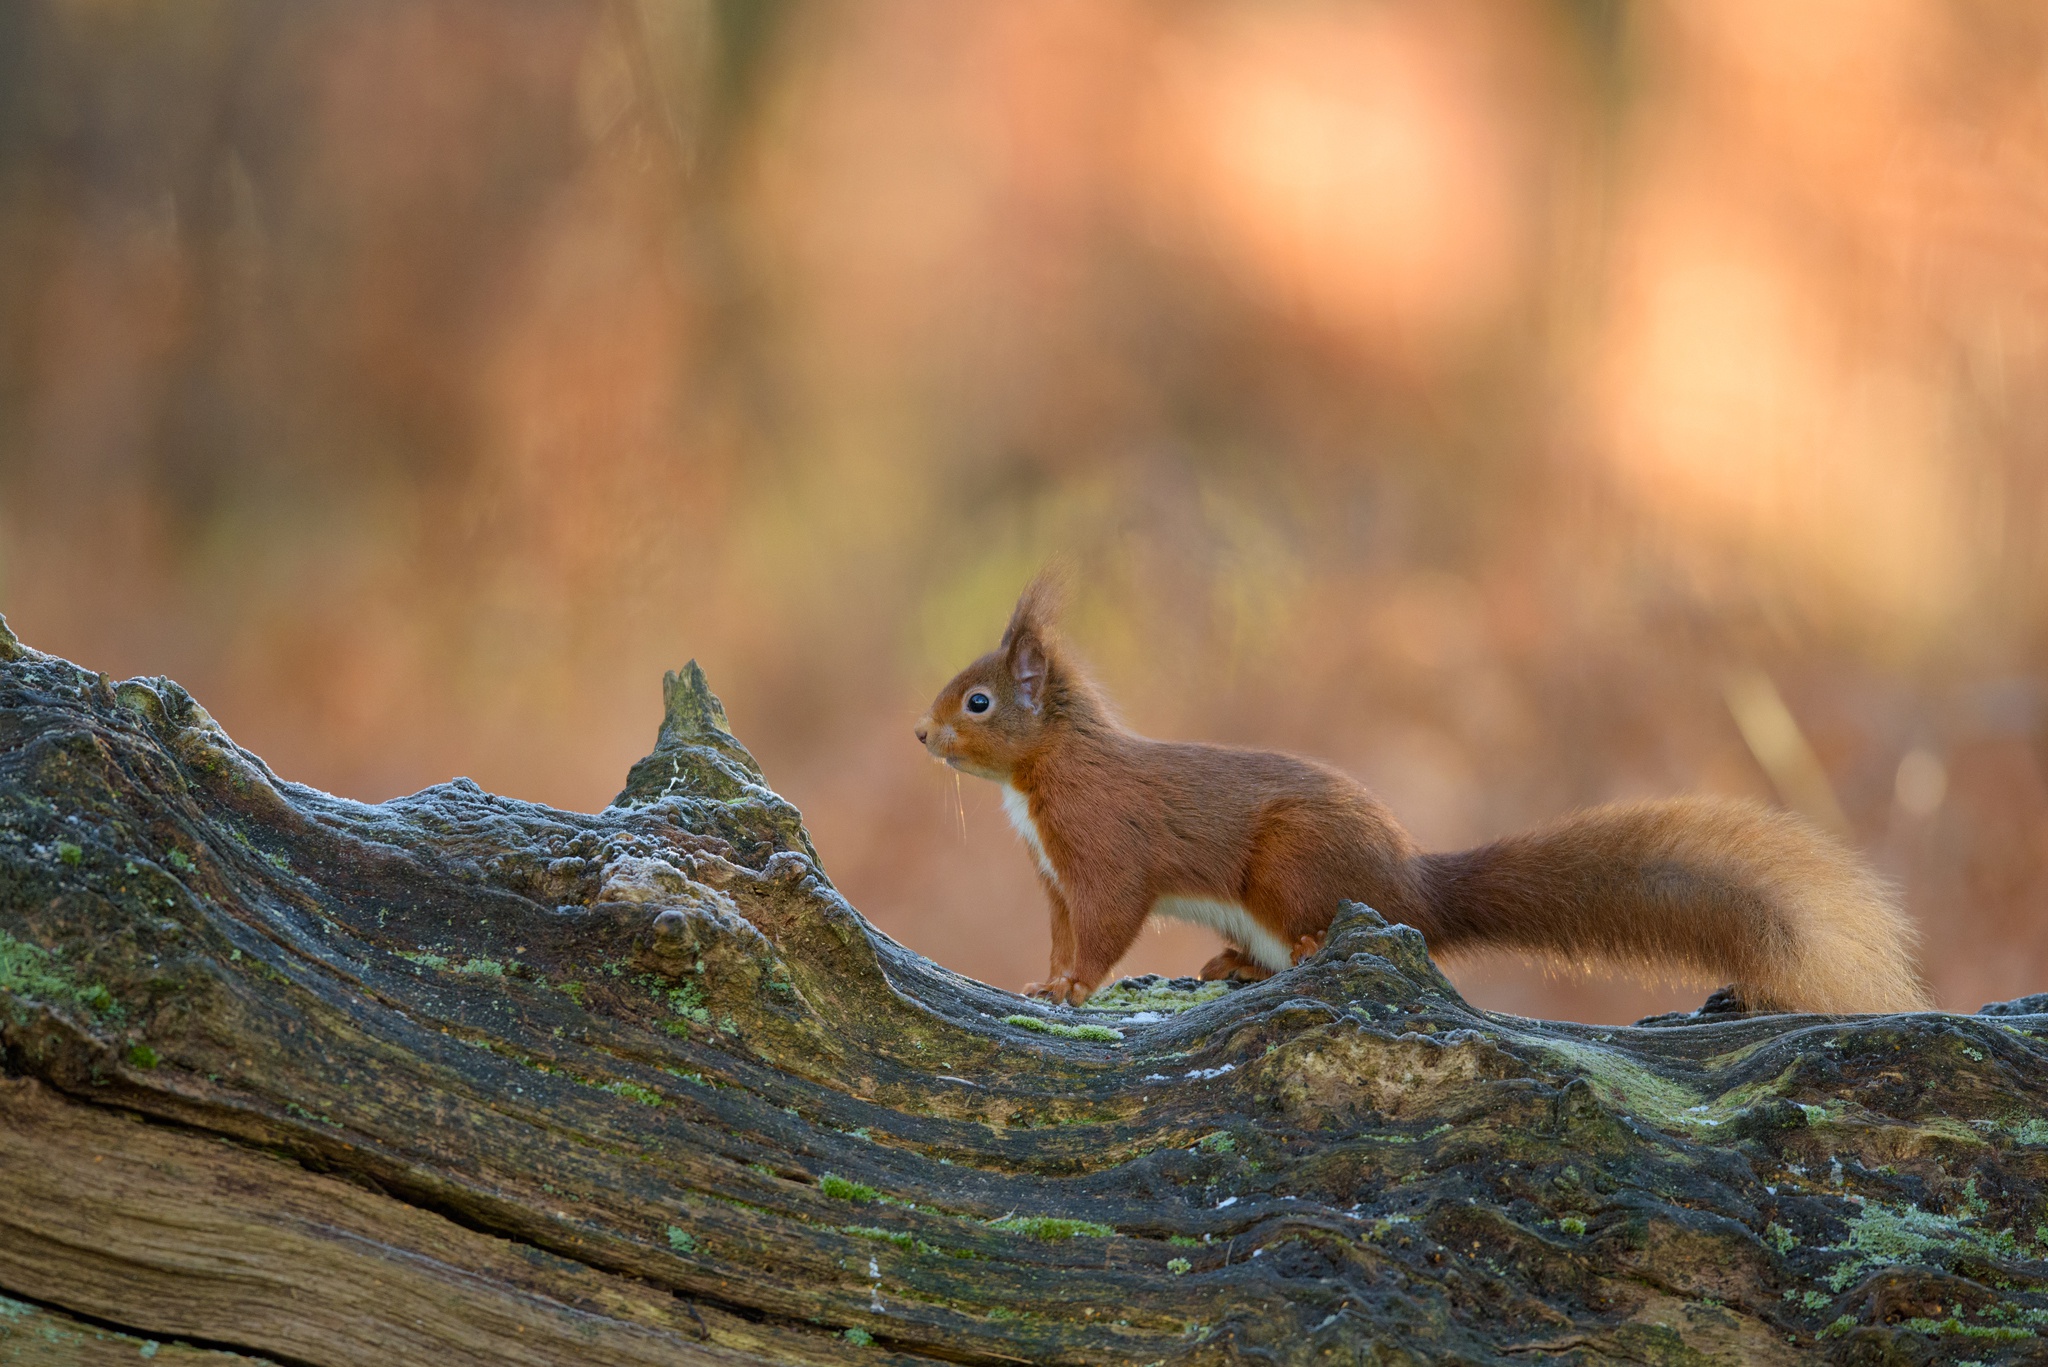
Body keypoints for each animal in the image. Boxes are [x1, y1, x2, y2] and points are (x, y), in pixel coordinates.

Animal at [914, 575, 1933, 1015]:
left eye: (978, 700)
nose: (921, 735)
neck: (1044, 779)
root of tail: (1414, 888)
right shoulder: (1054, 878)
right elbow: (1060, 932)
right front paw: (1045, 979)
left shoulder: (1106, 849)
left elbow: (1109, 924)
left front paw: (1072, 987)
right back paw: (1234, 964)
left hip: (1292, 864)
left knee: (1325, 923)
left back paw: (1306, 947)